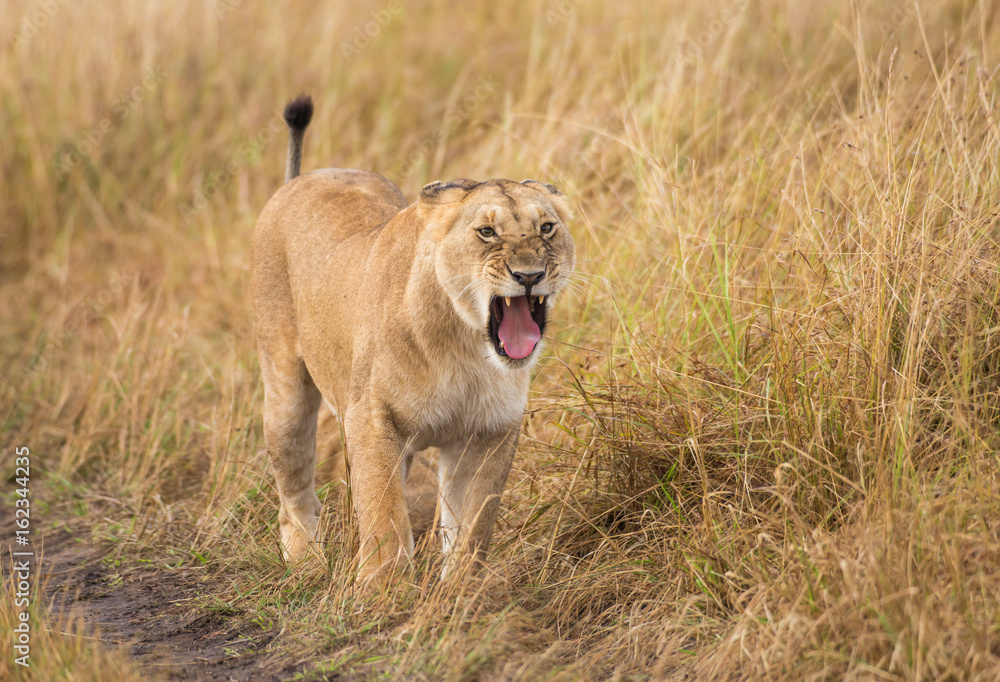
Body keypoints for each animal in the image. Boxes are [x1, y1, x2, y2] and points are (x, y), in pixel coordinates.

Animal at [251, 94, 575, 581]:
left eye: (547, 228)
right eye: (487, 232)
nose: (529, 275)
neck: (467, 349)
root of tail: (301, 179)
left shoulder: (488, 432)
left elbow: (471, 529)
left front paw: (459, 592)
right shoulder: (372, 420)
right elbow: (384, 519)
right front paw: (381, 591)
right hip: (286, 395)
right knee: (293, 488)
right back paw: (306, 561)